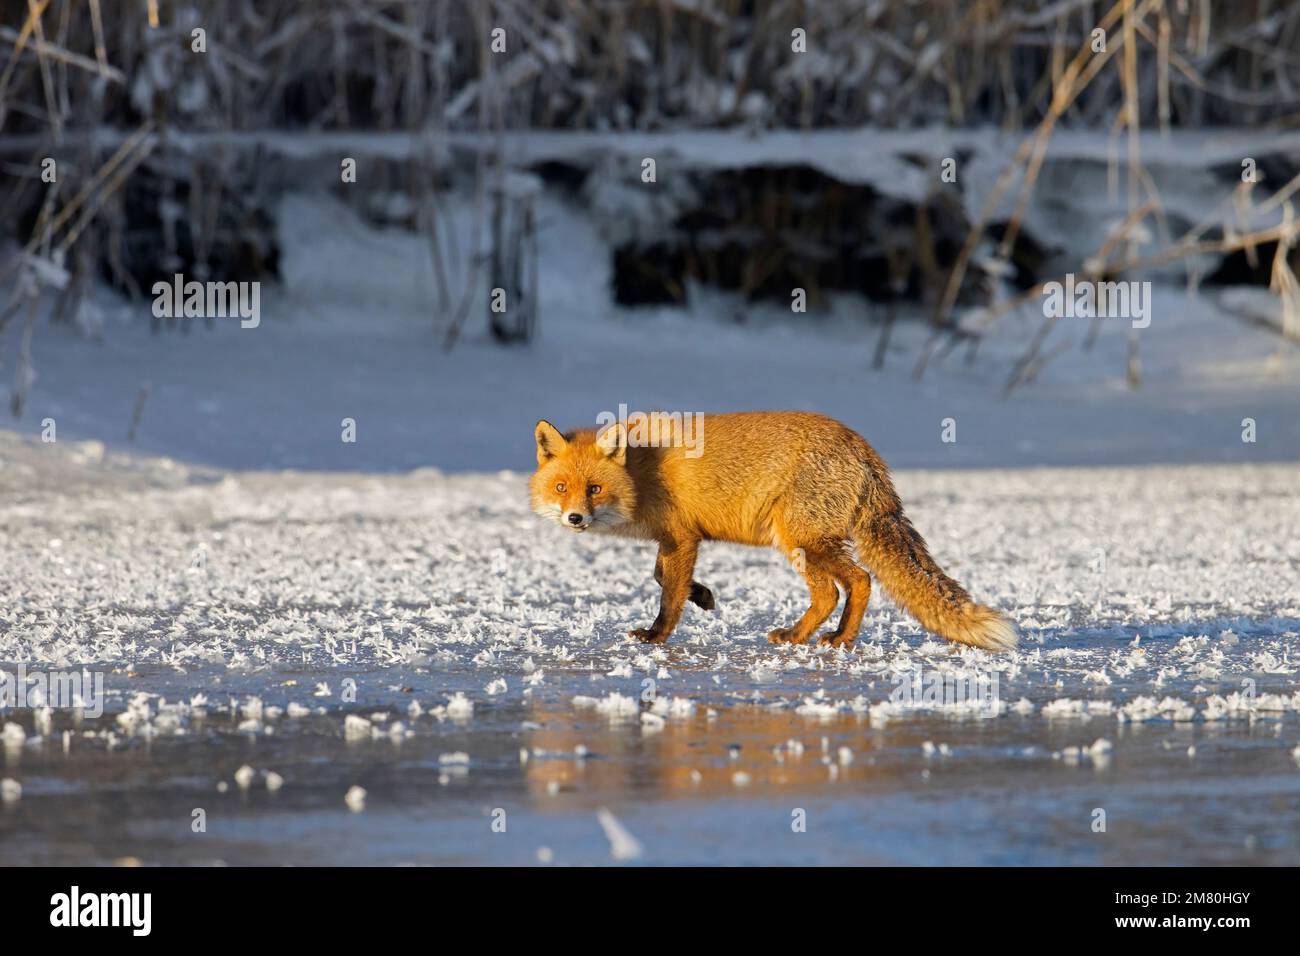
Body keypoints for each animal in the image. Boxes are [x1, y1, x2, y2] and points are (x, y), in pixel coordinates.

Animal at [530, 411, 1017, 652]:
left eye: (594, 488)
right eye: (561, 488)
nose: (575, 518)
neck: (641, 469)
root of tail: (863, 448)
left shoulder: (682, 537)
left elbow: (668, 595)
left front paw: (657, 636)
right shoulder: (673, 539)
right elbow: (663, 577)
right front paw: (702, 595)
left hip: (801, 540)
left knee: (853, 583)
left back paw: (827, 640)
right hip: (807, 544)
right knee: (839, 590)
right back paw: (819, 637)